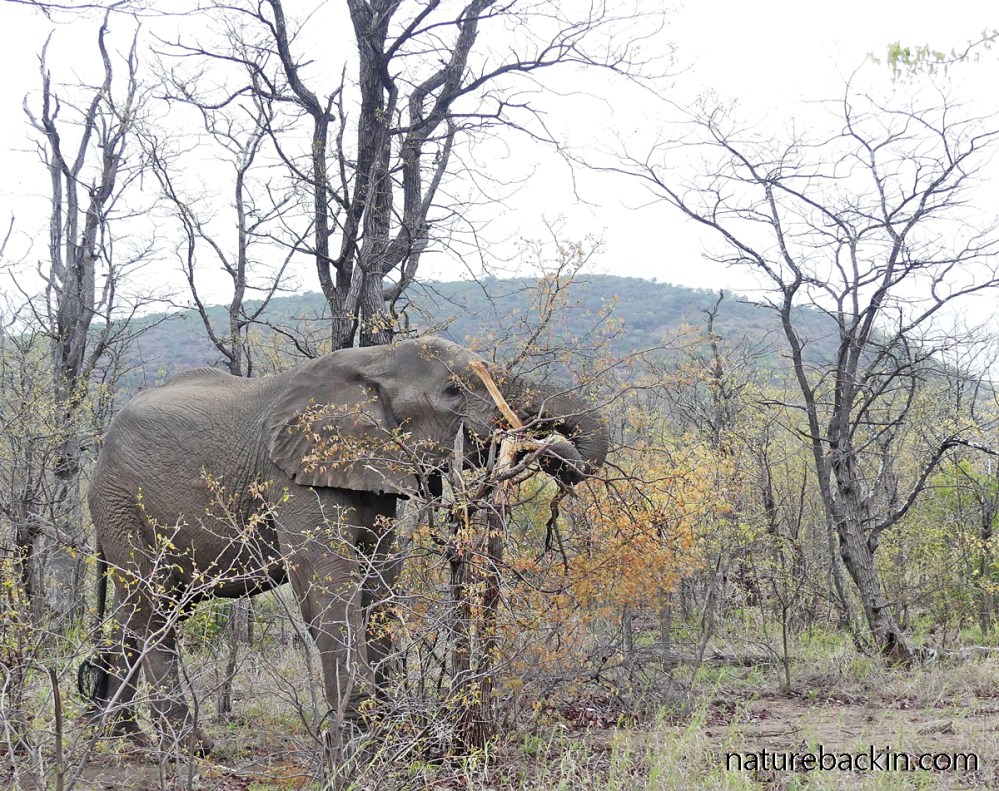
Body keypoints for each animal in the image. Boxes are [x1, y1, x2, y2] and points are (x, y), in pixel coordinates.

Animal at [79, 337, 607, 753]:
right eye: (453, 391)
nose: (549, 452)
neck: (371, 361)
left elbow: (382, 575)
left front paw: (391, 735)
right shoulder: (293, 475)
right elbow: (328, 578)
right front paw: (358, 746)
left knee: (140, 610)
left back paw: (123, 738)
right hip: (119, 500)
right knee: (152, 607)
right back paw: (191, 749)